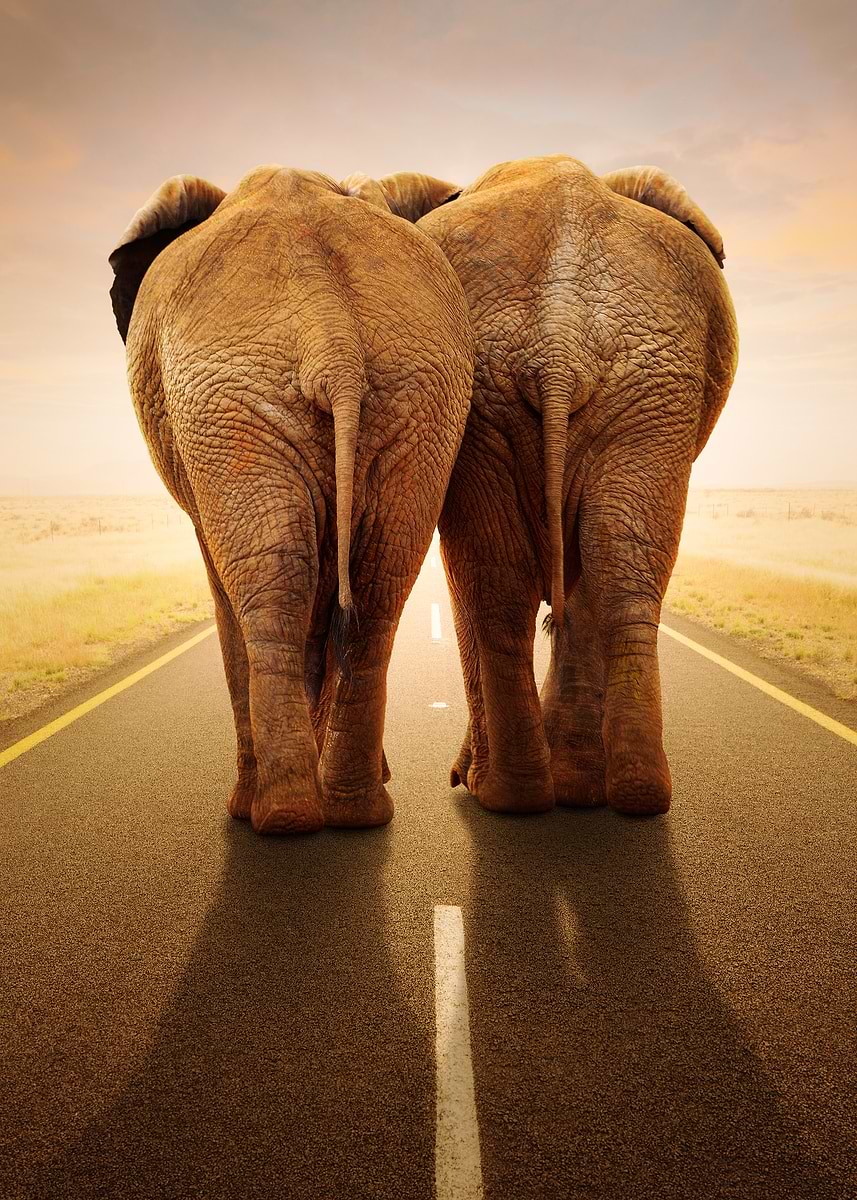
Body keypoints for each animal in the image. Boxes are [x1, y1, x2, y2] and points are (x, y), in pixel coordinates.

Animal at [109, 165, 473, 835]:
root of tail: (333, 336)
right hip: (422, 396)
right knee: (377, 582)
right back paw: (354, 813)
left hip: (229, 402)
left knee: (272, 583)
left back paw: (279, 817)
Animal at [345, 155, 737, 817]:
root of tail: (559, 338)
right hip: (608, 396)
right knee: (590, 575)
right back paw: (584, 797)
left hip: (632, 388)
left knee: (535, 578)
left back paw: (523, 794)